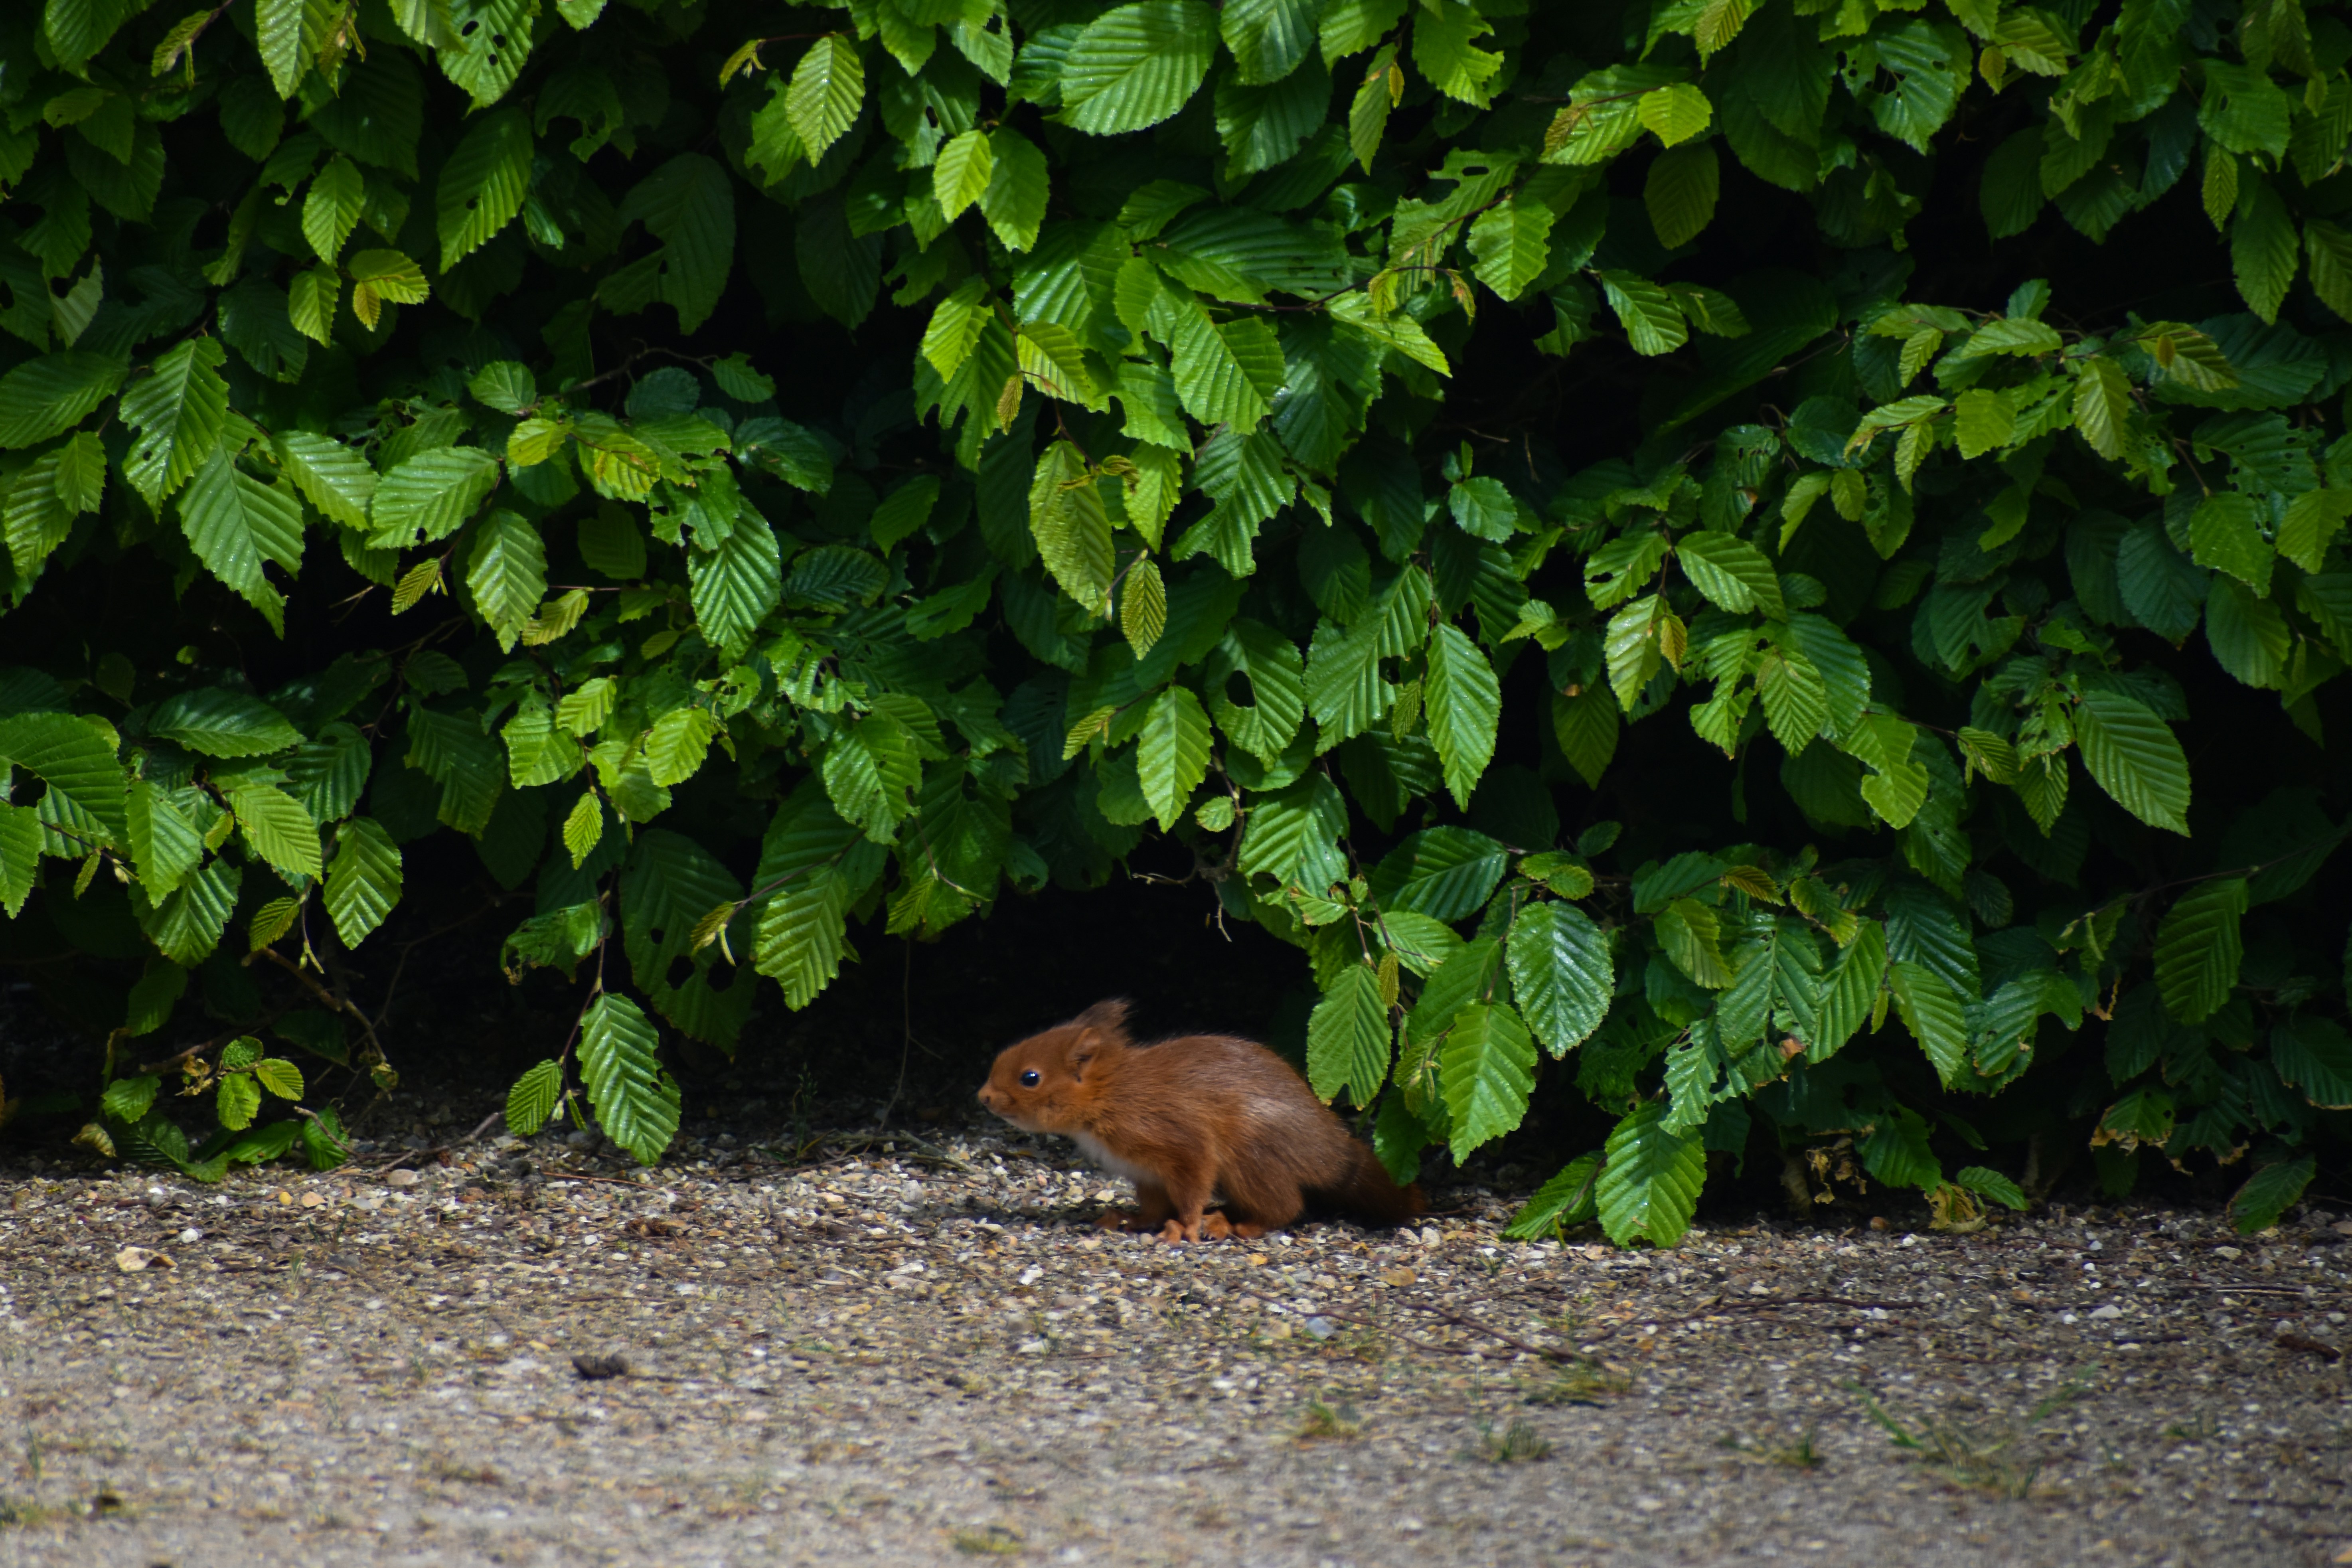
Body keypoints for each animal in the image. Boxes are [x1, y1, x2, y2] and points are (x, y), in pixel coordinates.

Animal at [977, 999, 1425, 1244]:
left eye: (1030, 1078)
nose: (983, 1098)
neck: (1110, 1097)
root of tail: (1332, 1152)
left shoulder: (1176, 1137)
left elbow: (1193, 1182)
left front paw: (1187, 1227)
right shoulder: (1146, 1173)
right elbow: (1153, 1206)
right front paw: (1130, 1219)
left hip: (1252, 1155)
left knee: (1285, 1207)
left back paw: (1236, 1225)